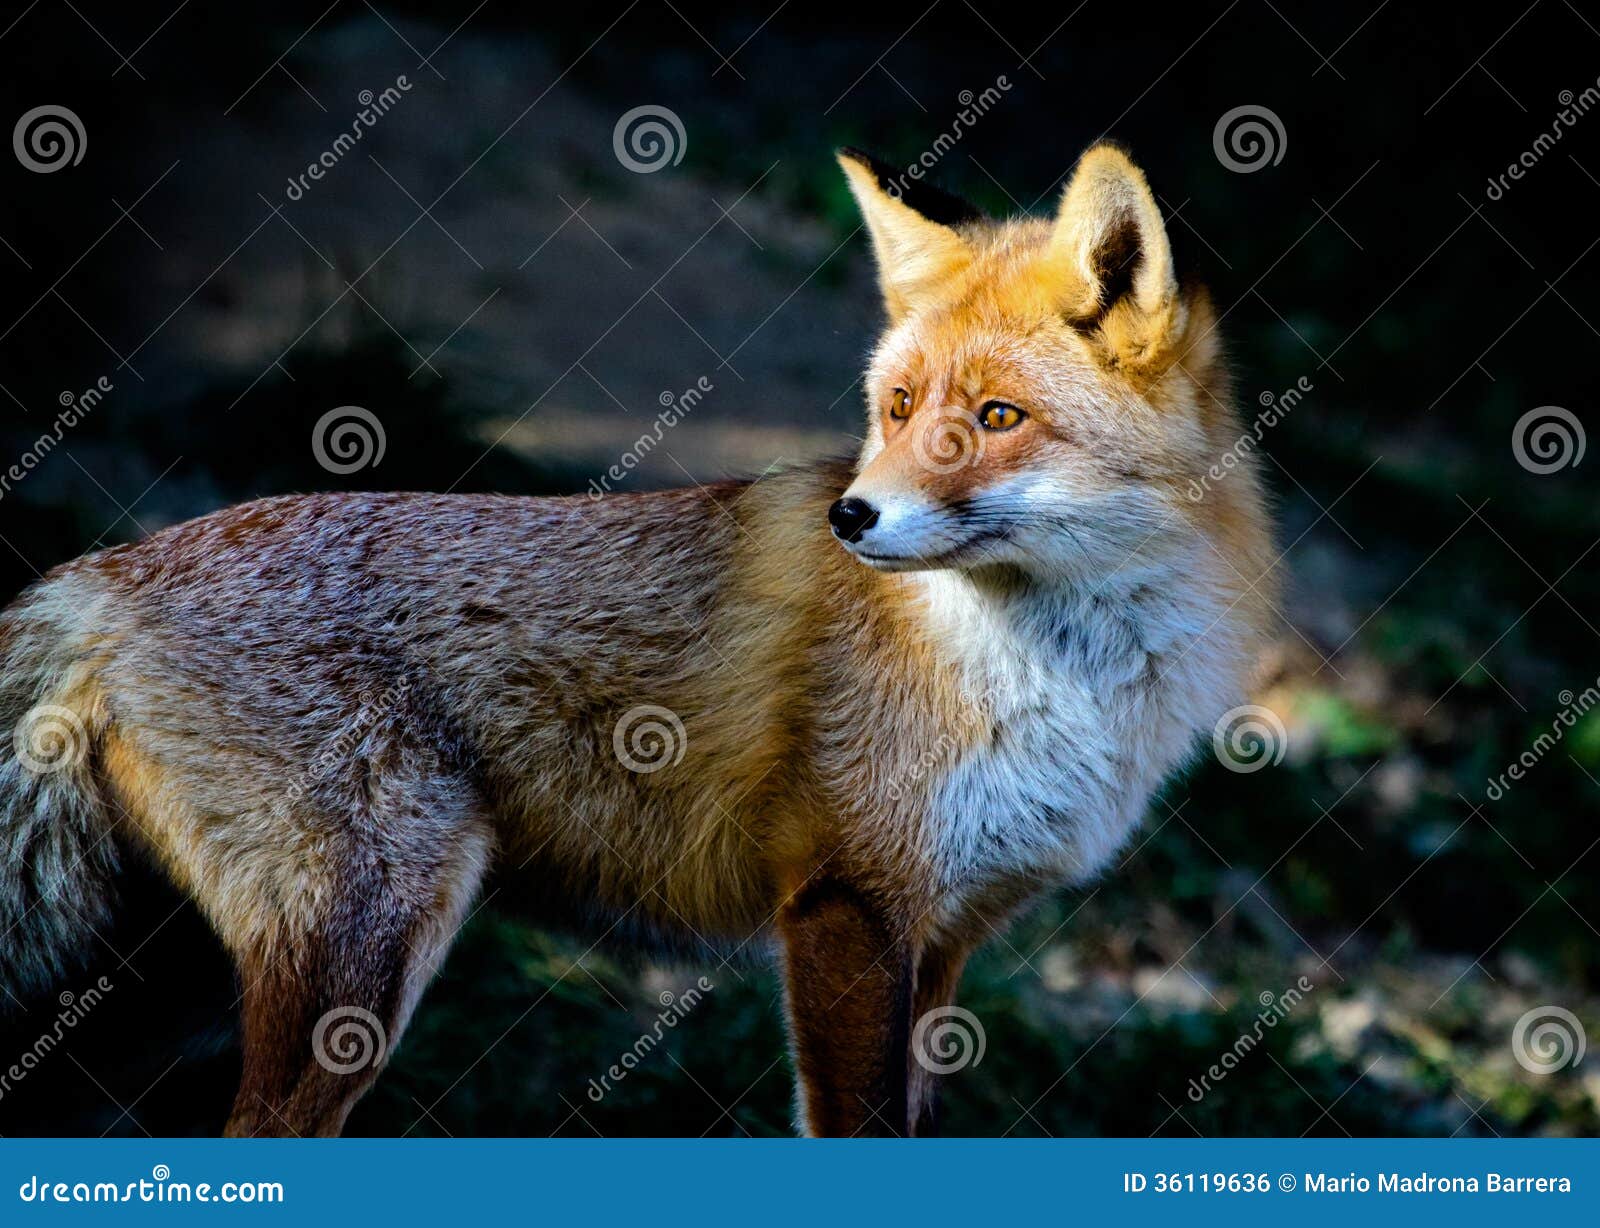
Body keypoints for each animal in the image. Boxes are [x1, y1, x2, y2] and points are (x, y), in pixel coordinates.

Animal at [0, 142, 1272, 1137]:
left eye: (999, 417)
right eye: (901, 408)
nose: (849, 516)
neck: (1059, 671)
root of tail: (97, 576)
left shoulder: (948, 930)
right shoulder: (848, 904)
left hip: (178, 988)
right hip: (362, 950)